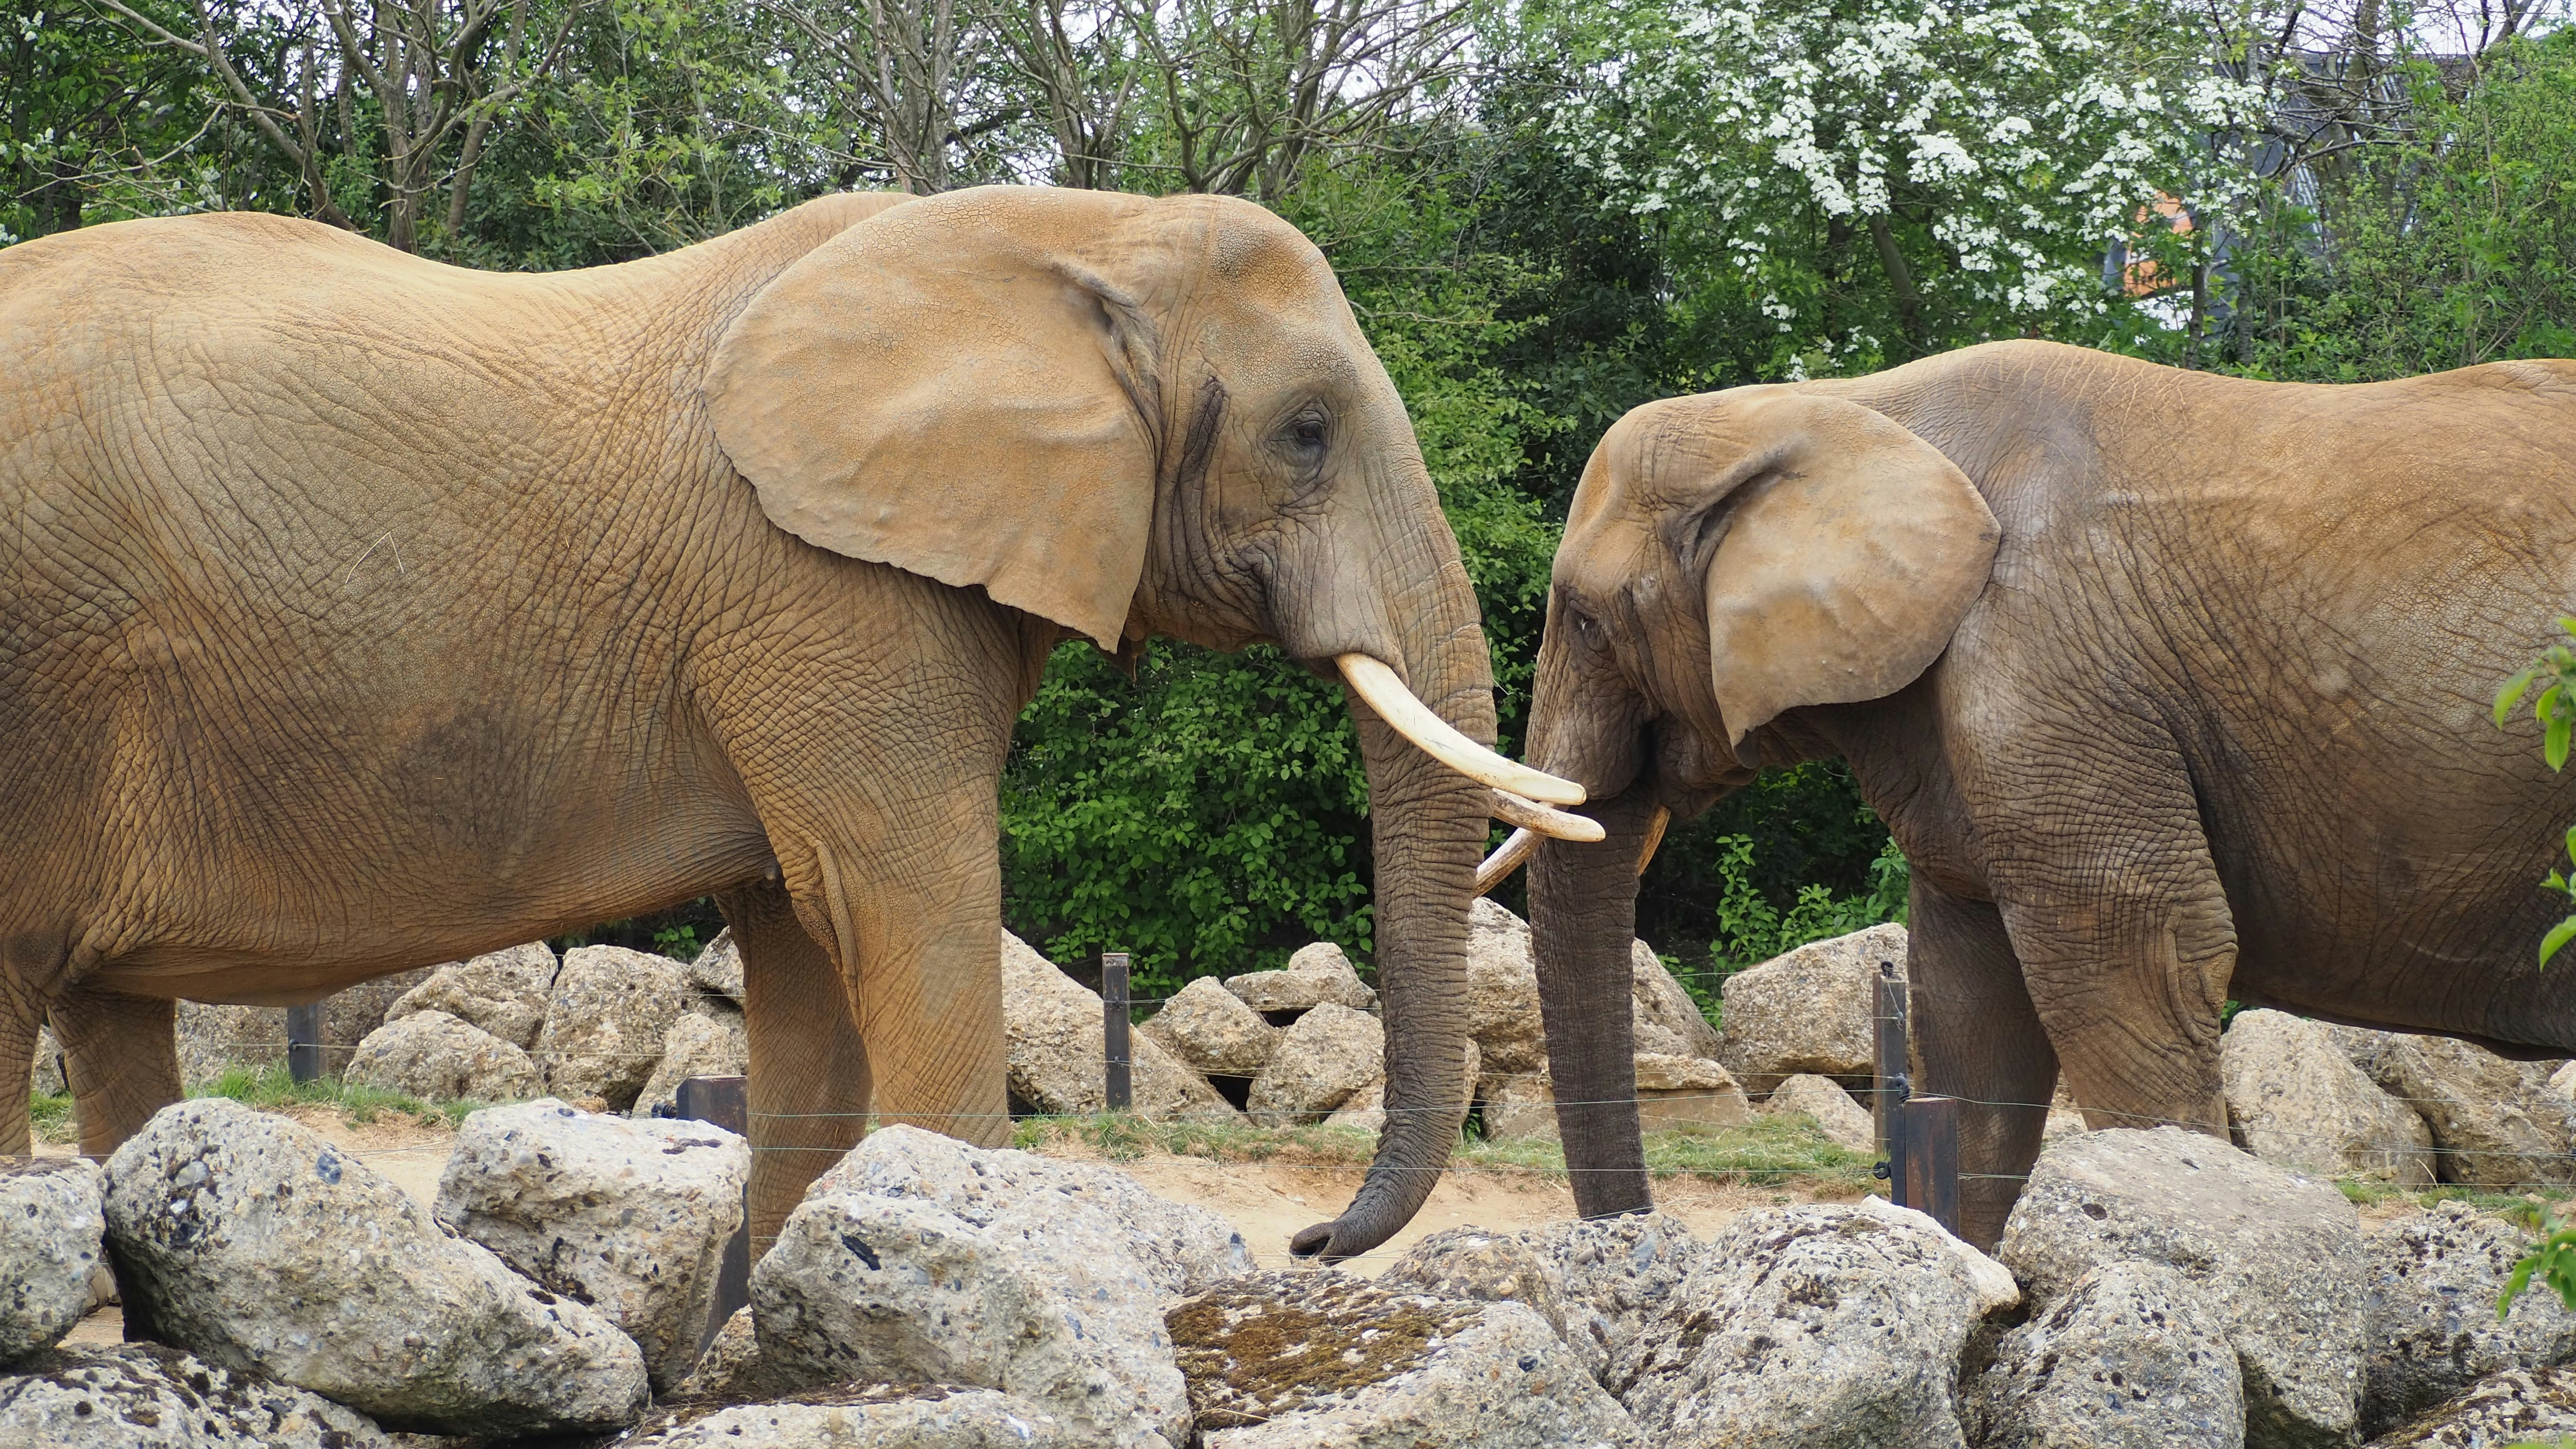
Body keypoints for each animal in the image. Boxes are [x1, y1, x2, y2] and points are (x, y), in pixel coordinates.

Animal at [0, 184, 1589, 1257]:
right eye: (1307, 433)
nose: (1310, 1243)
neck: (1075, 233)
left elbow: (809, 952)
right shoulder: (826, 589)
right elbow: (905, 908)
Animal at [1503, 339, 2576, 1246]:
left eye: (1587, 621)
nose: (1645, 1240)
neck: (1842, 408)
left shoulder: (2046, 667)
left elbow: (2136, 955)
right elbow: (1974, 1025)